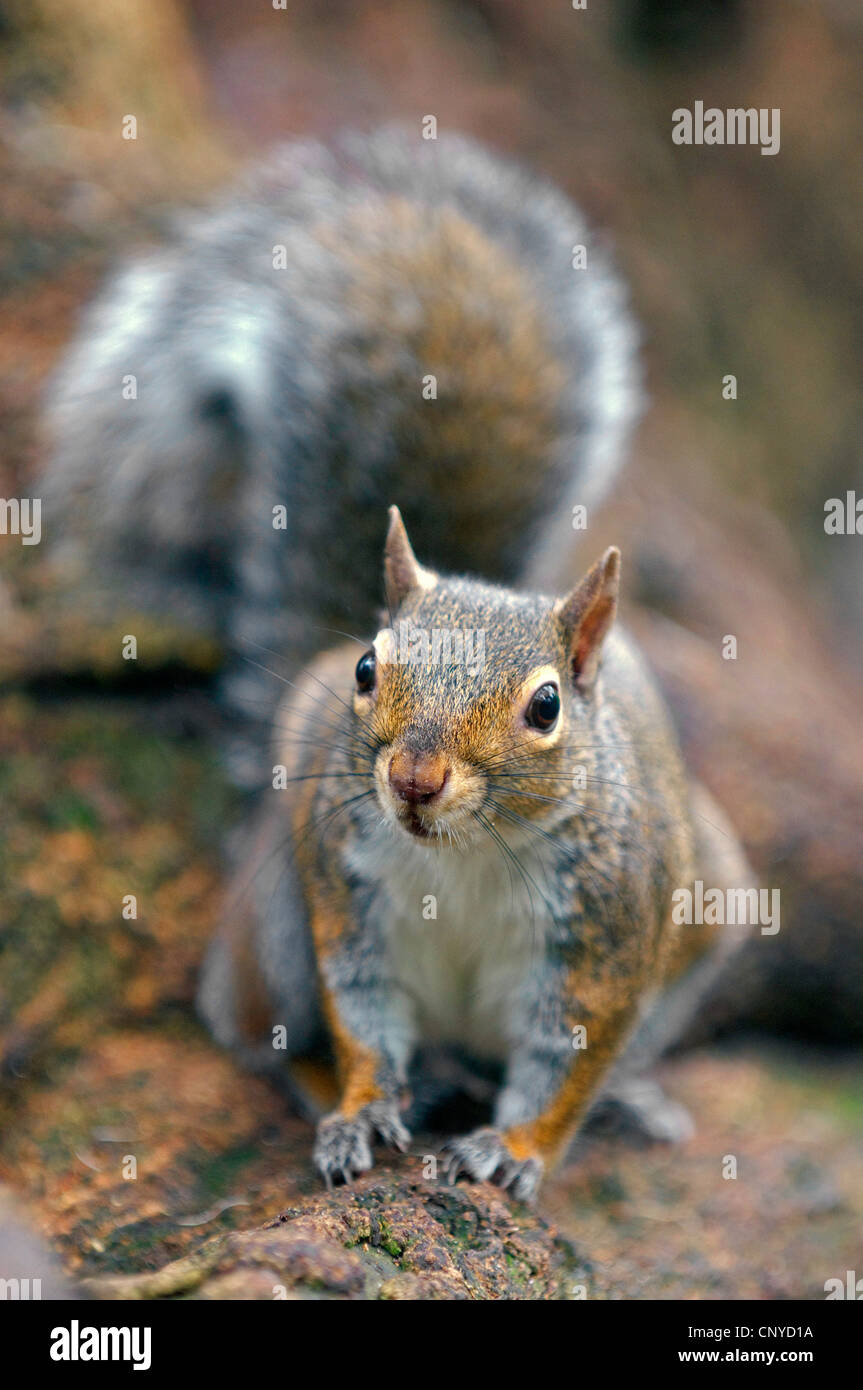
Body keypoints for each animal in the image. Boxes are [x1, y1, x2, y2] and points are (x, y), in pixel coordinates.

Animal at [40, 127, 751, 1199]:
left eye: (546, 707)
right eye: (366, 672)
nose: (413, 779)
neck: (463, 855)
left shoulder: (612, 941)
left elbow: (566, 1070)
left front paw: (517, 1150)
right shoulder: (345, 901)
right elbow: (362, 1019)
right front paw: (363, 1110)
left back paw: (628, 1096)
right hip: (275, 919)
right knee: (265, 1031)